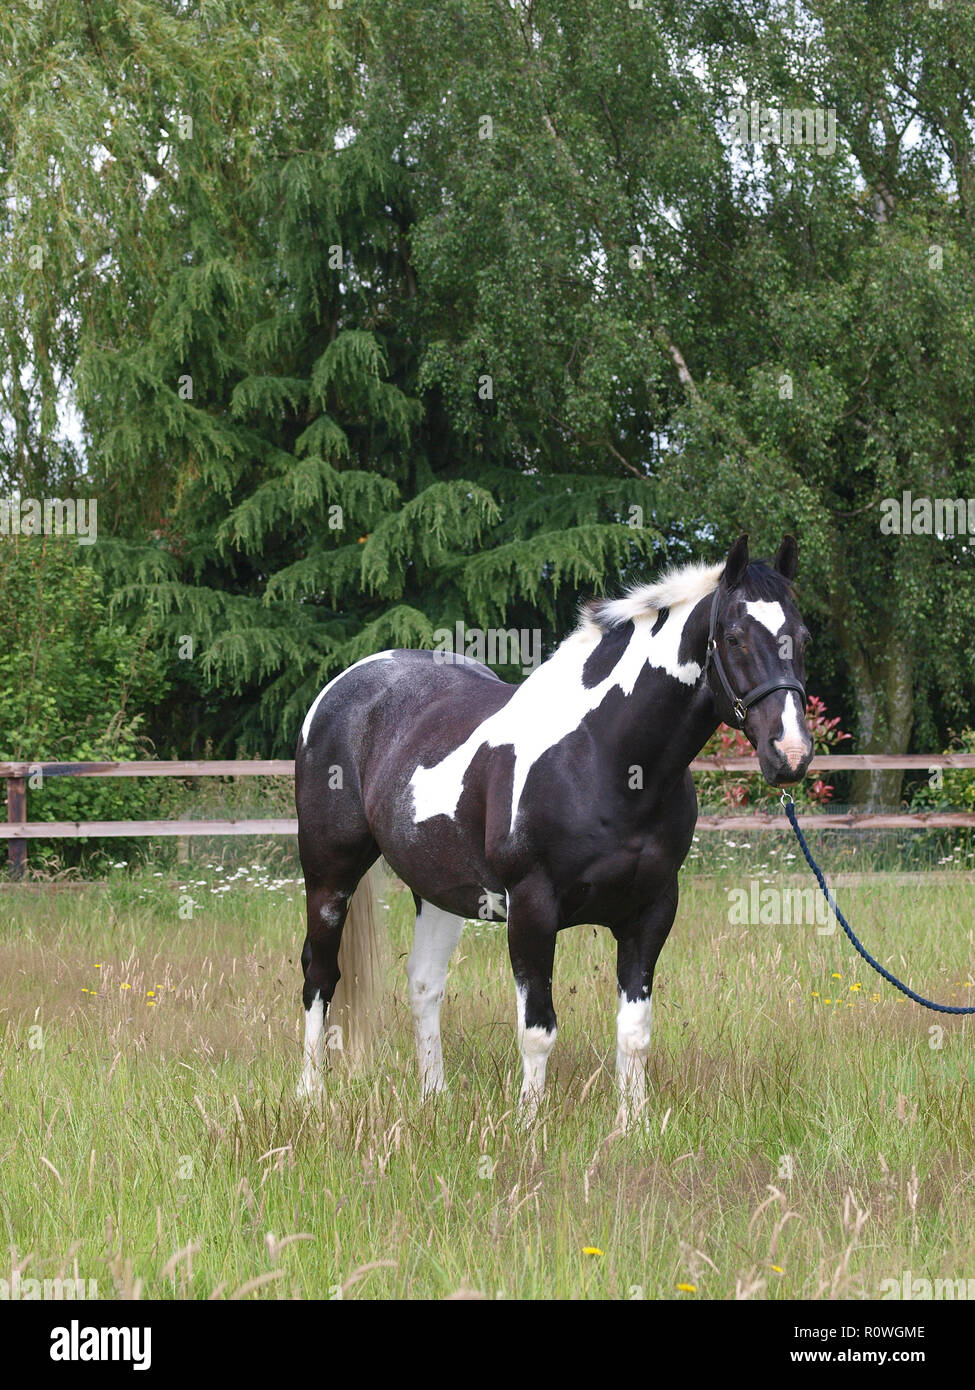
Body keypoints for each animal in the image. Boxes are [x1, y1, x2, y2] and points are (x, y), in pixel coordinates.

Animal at [294, 533, 814, 1124]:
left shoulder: (651, 911)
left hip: (439, 889)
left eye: (803, 637)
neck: (603, 757)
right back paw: (309, 1094)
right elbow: (537, 1030)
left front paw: (632, 1126)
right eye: (733, 637)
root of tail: (347, 685)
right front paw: (528, 1123)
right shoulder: (532, 907)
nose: (790, 754)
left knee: (424, 984)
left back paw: (434, 1096)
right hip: (330, 874)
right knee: (319, 975)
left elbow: (634, 1032)